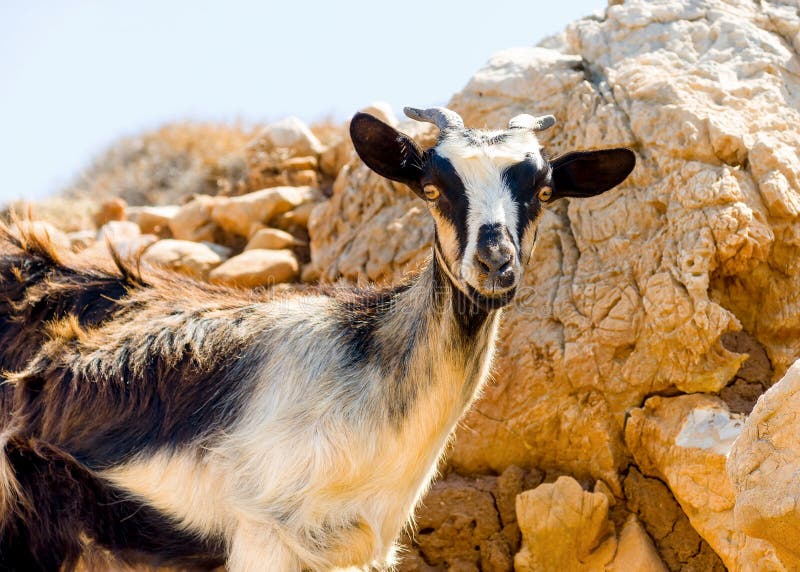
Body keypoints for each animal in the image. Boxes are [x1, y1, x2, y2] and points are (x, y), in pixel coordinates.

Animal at [0, 107, 635, 571]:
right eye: (432, 187)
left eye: (544, 191)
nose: (495, 262)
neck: (366, 370)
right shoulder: (263, 535)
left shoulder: (354, 549)